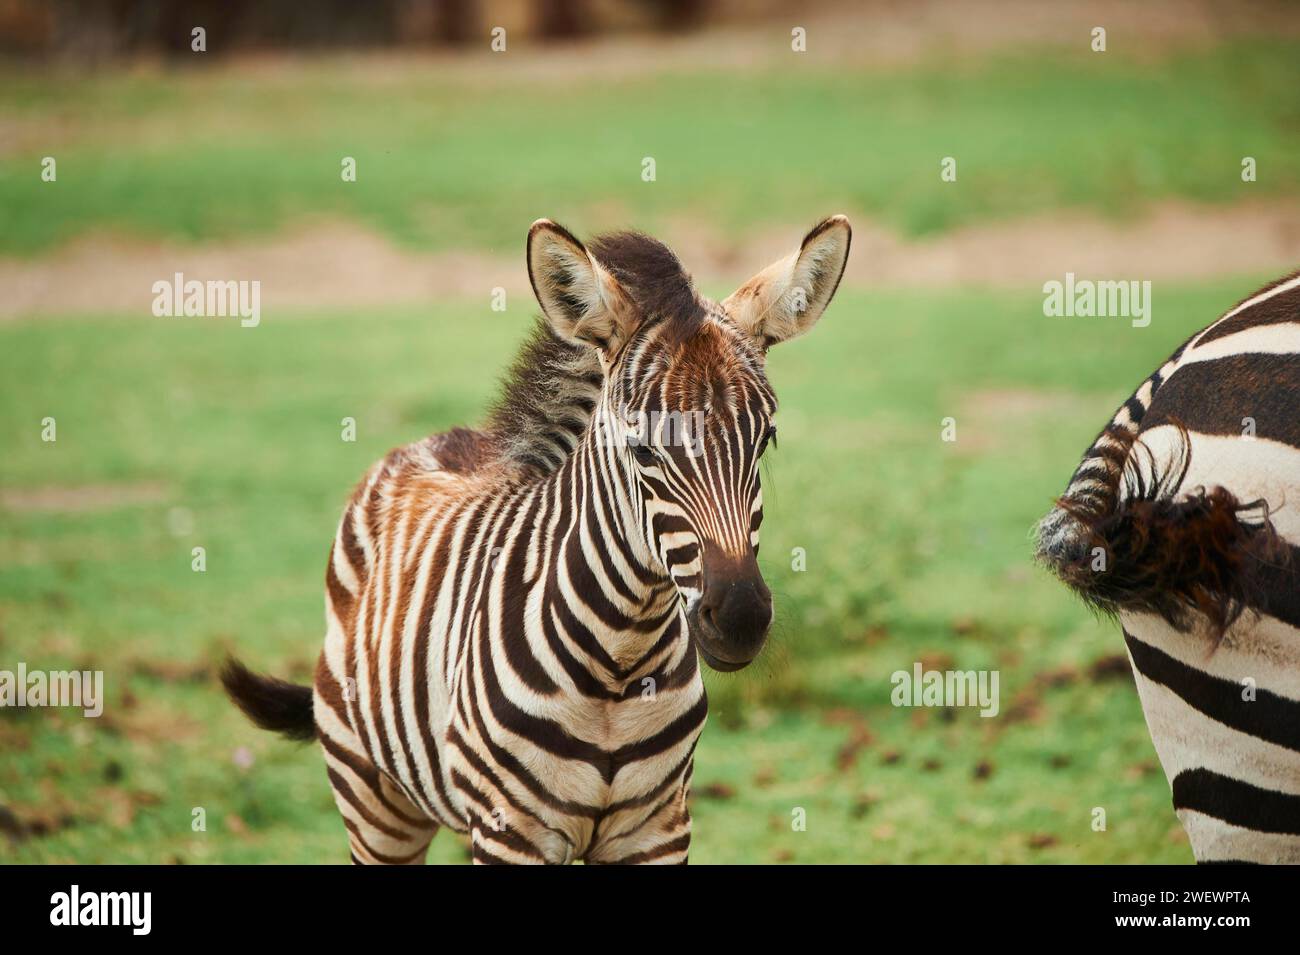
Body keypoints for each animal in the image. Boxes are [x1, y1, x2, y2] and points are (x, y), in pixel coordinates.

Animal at [222, 215, 852, 864]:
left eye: (765, 440)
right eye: (641, 448)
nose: (740, 619)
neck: (619, 664)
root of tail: (431, 442)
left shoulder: (658, 829)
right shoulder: (509, 832)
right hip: (374, 803)